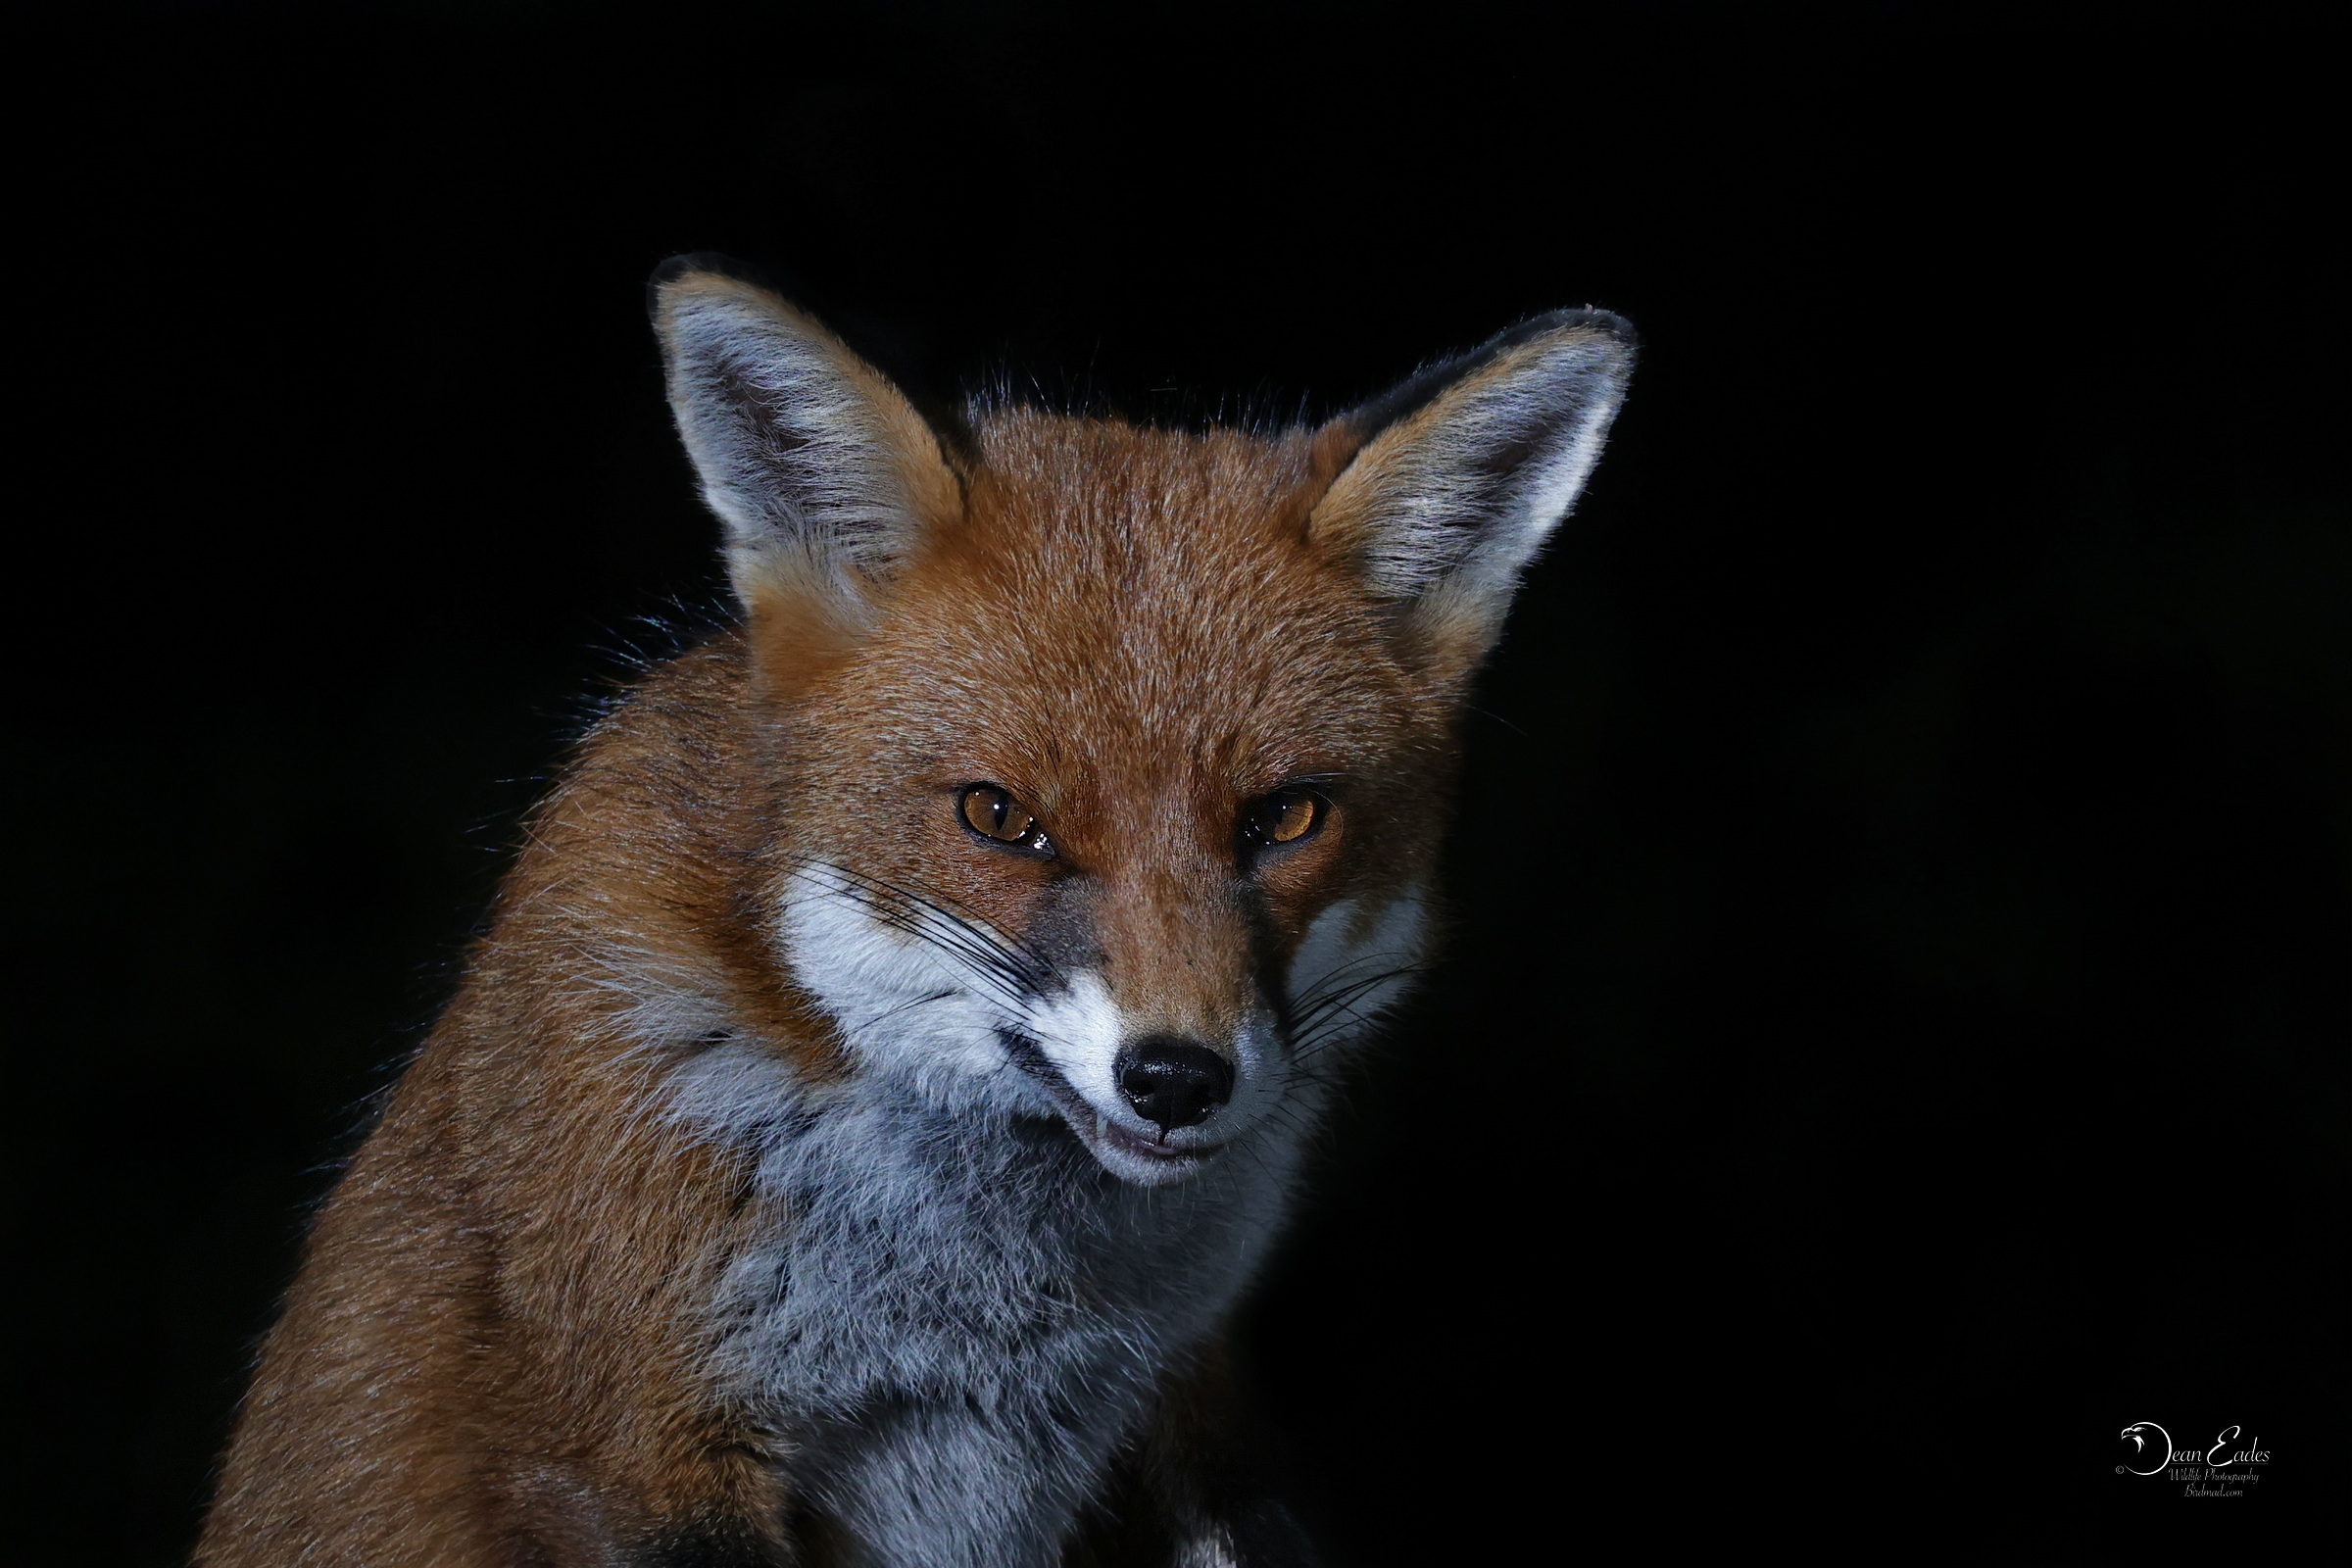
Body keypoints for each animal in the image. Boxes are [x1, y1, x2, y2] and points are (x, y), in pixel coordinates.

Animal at [194, 255, 1634, 1567]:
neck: (991, 1316)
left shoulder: (1192, 1420)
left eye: (1283, 819)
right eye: (999, 816)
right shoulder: (644, 1448)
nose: (1177, 1078)